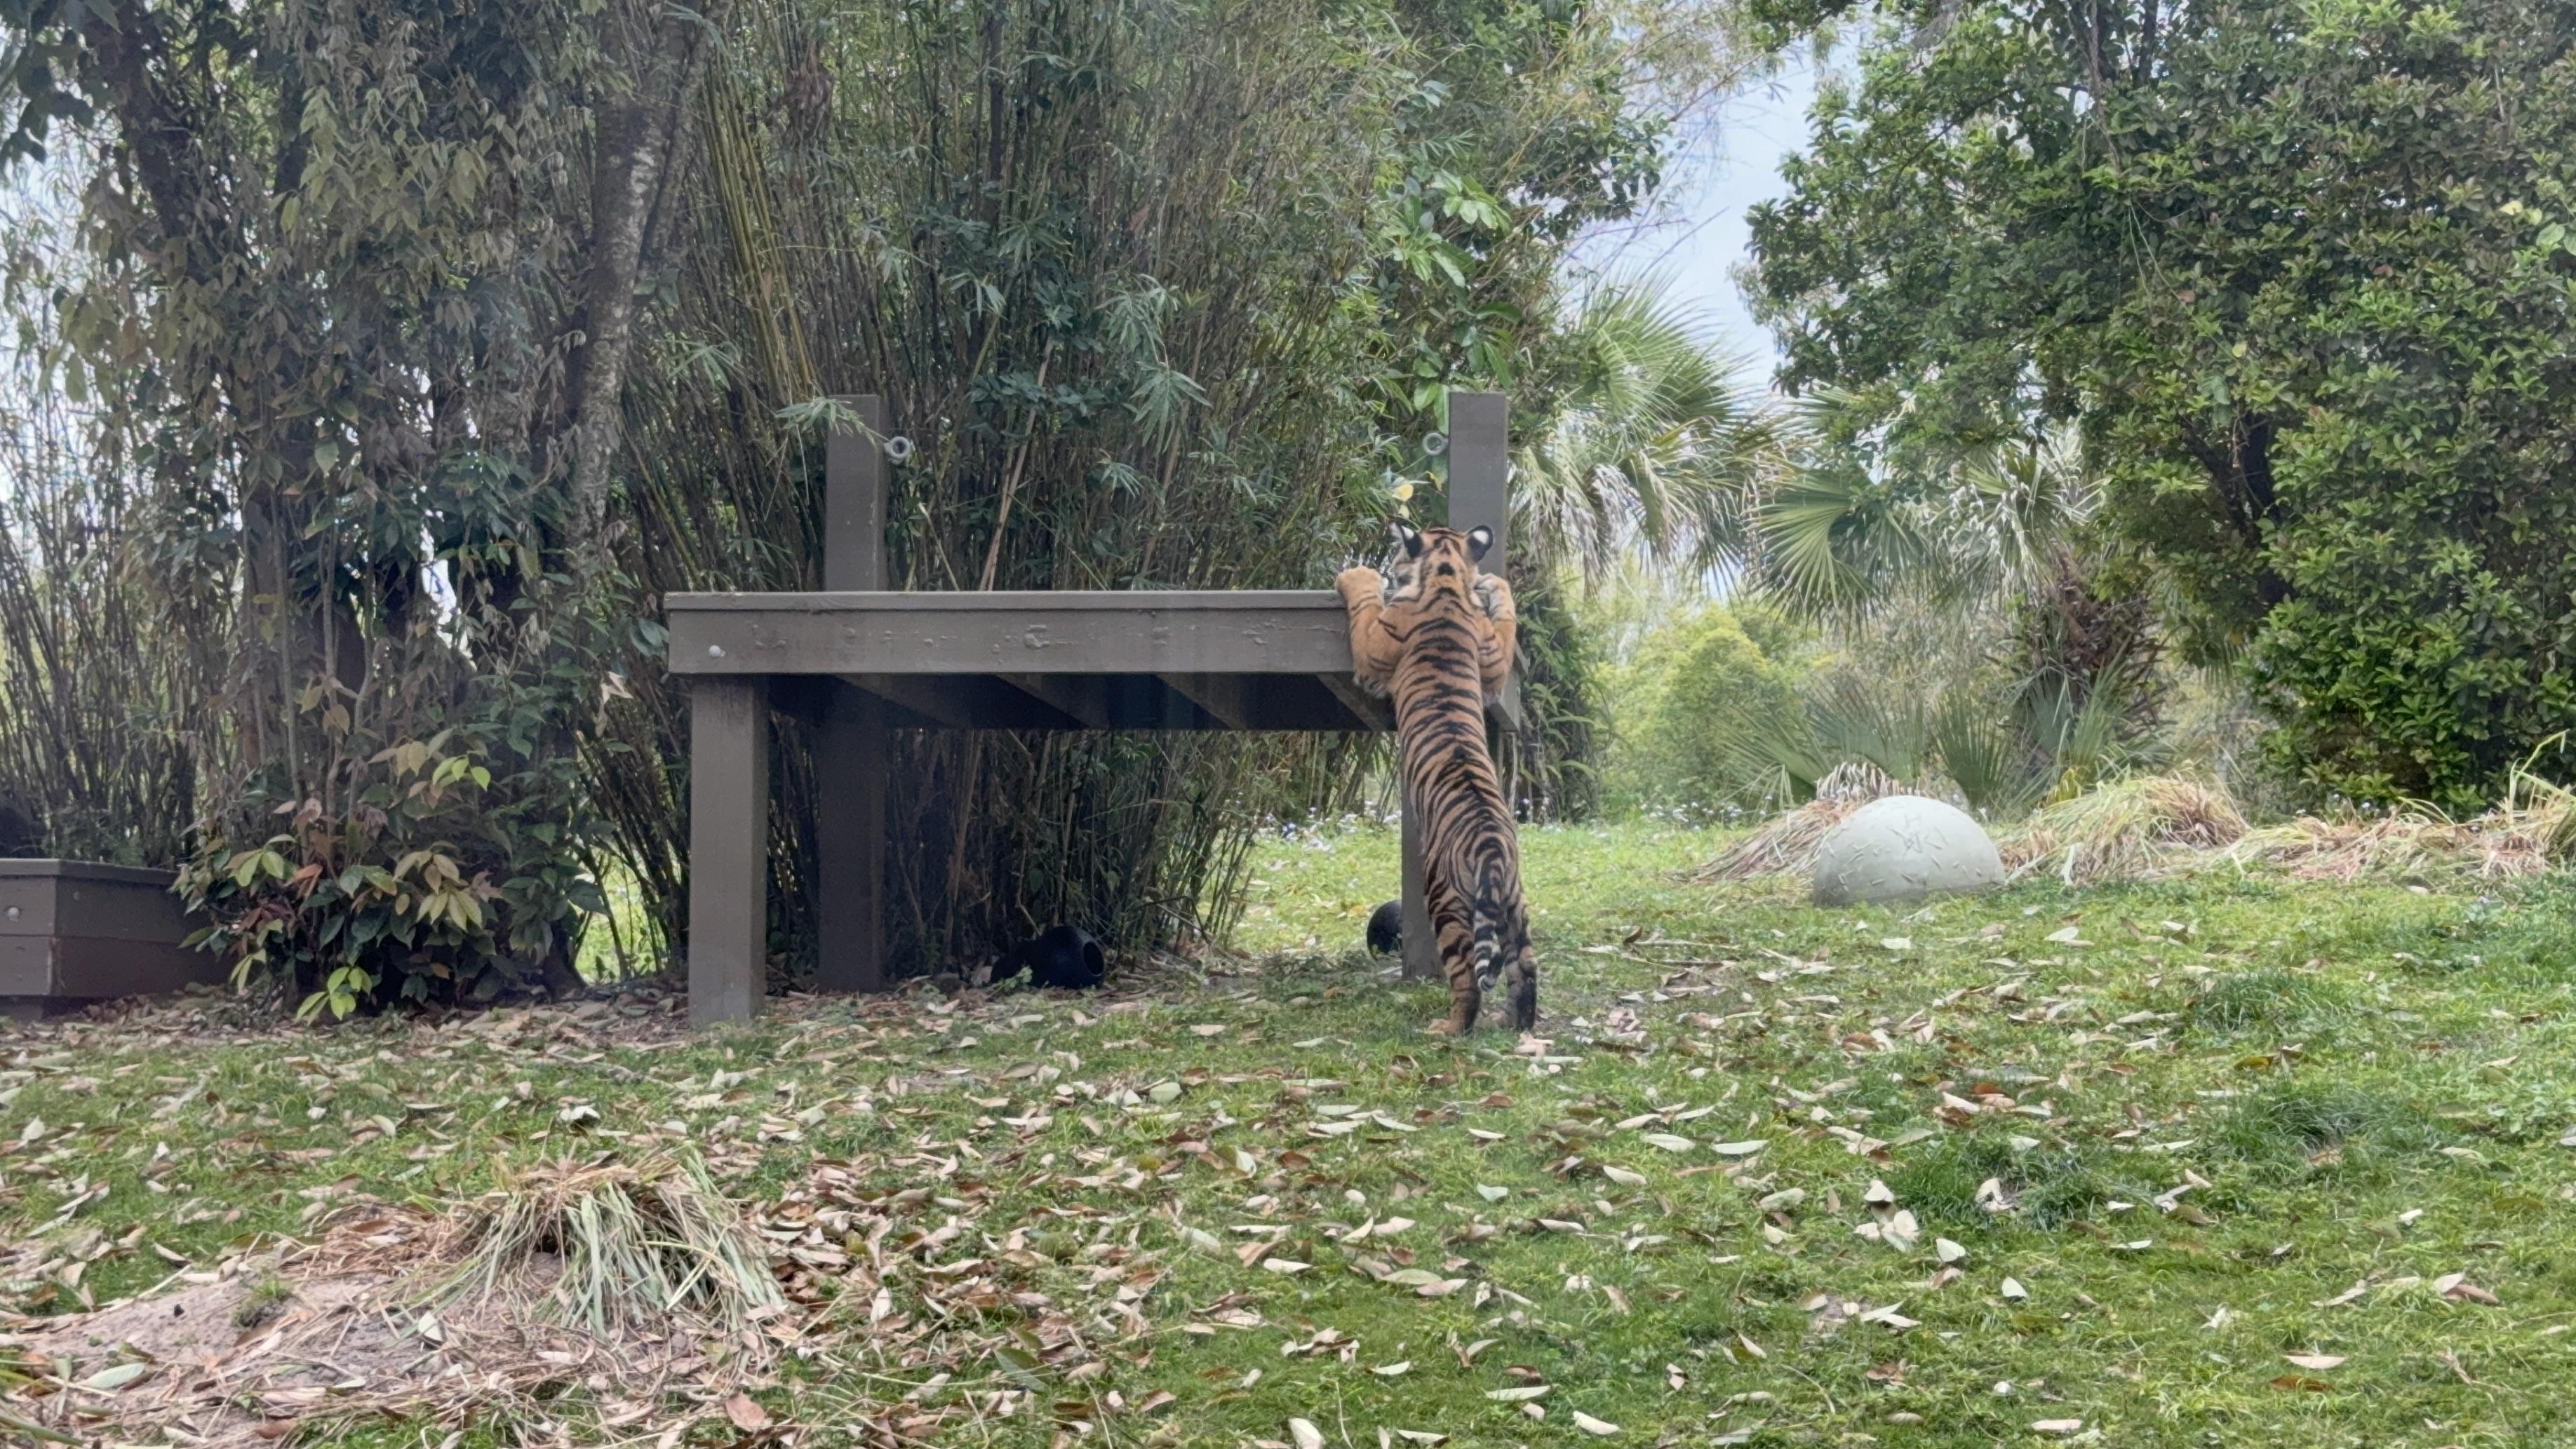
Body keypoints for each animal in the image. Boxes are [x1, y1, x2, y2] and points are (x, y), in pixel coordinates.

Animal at [1335, 521, 1537, 1033]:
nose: (1389, 566)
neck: (1445, 582)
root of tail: (1492, 852)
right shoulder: (1492, 653)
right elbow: (1506, 624)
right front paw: (1495, 585)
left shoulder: (1374, 644)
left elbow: (1364, 605)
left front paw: (1357, 575)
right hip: (1516, 904)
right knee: (1525, 965)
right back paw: (1518, 1024)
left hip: (1445, 902)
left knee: (1468, 979)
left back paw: (1450, 1027)